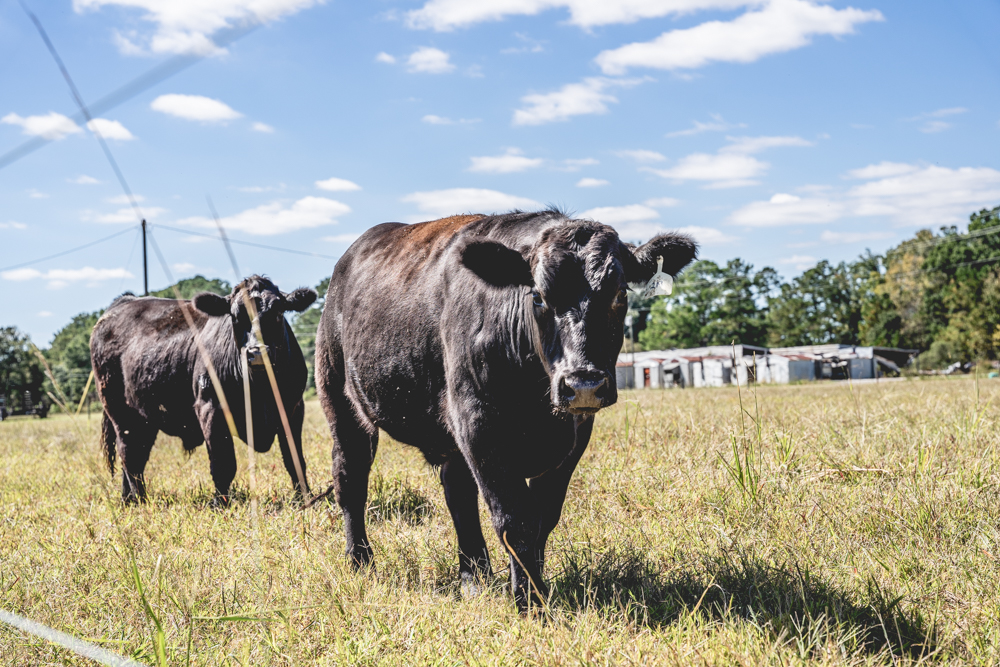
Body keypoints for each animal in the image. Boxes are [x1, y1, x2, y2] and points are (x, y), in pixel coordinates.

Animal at [90, 276, 317, 505]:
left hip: (145, 418)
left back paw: (128, 500)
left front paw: (305, 498)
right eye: (235, 316)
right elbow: (223, 464)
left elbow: (294, 460)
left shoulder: (294, 408)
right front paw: (220, 504)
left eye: (278, 312)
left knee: (136, 456)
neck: (260, 389)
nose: (257, 353)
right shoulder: (211, 408)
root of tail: (125, 301)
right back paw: (141, 501)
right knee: (130, 457)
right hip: (120, 413)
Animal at [315, 210, 696, 611]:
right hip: (341, 403)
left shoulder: (575, 435)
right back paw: (360, 561)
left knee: (457, 492)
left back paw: (474, 577)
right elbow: (515, 520)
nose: (583, 383)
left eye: (620, 293)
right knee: (350, 480)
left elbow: (543, 517)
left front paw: (536, 587)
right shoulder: (479, 426)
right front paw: (528, 600)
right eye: (539, 296)